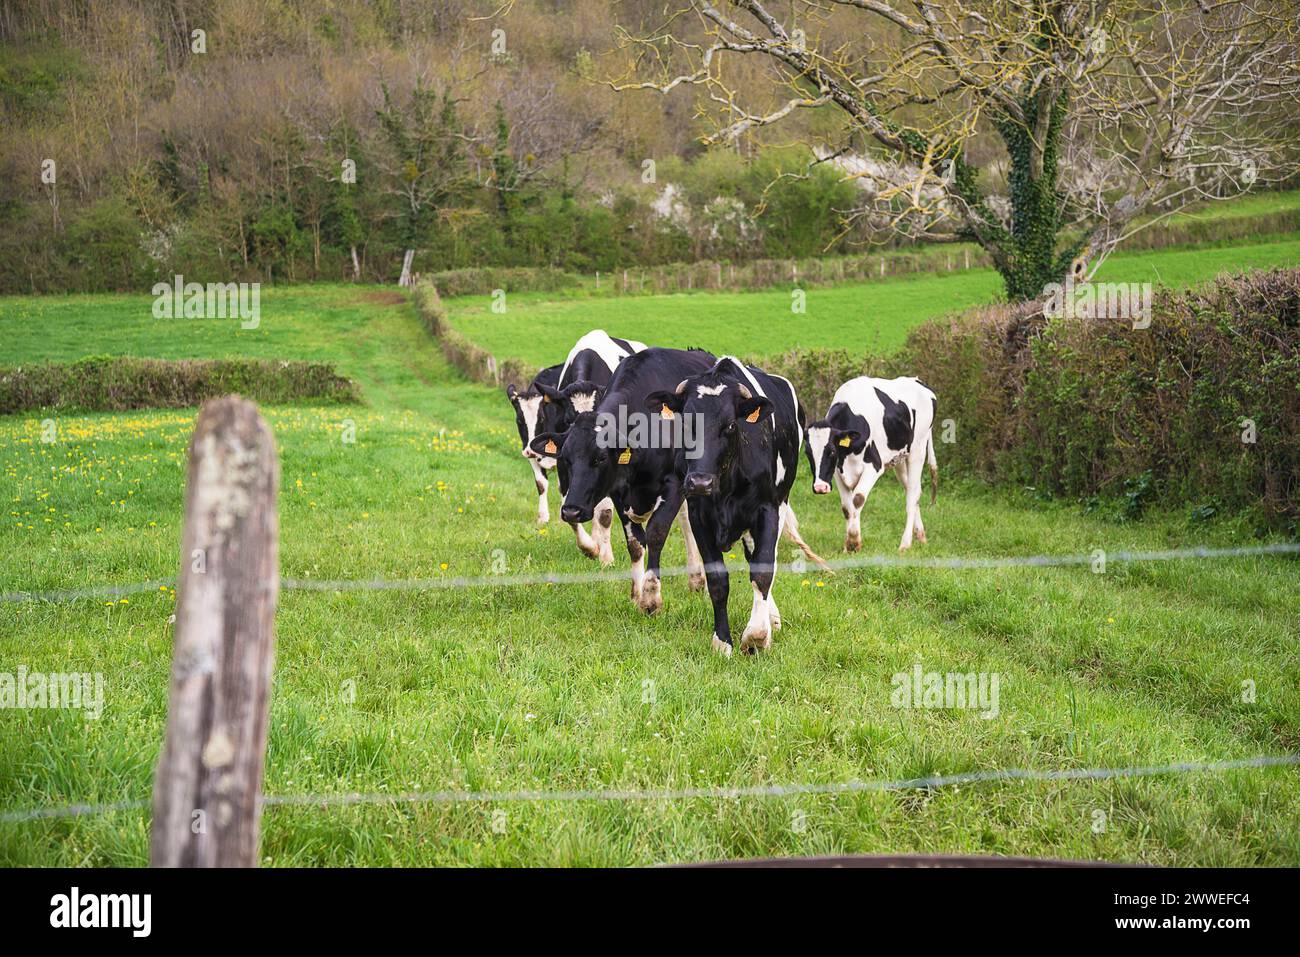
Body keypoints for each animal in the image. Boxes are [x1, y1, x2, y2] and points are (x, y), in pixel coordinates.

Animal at [506, 330, 646, 564]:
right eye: (567, 419)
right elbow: (563, 502)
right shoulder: (560, 461)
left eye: (542, 417)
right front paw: (590, 547)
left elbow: (604, 513)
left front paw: (605, 556)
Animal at [529, 347, 715, 615]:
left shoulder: (674, 485)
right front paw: (636, 595)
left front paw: (651, 598)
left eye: (601, 457)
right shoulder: (618, 491)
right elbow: (635, 542)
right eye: (565, 457)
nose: (572, 511)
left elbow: (656, 533)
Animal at [645, 356, 828, 657]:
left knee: (765, 559)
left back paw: (769, 619)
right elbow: (718, 580)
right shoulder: (699, 515)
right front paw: (722, 641)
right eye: (686, 423)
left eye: (730, 425)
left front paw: (756, 636)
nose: (700, 481)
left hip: (780, 503)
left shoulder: (768, 509)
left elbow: (764, 570)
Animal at [804, 376, 938, 554]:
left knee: (913, 494)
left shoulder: (874, 466)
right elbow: (847, 508)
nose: (820, 487)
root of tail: (916, 380)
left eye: (832, 451)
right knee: (910, 489)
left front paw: (854, 542)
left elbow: (857, 499)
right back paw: (921, 536)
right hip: (900, 458)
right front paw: (848, 546)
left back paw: (905, 544)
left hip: (918, 449)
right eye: (807, 453)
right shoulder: (838, 472)